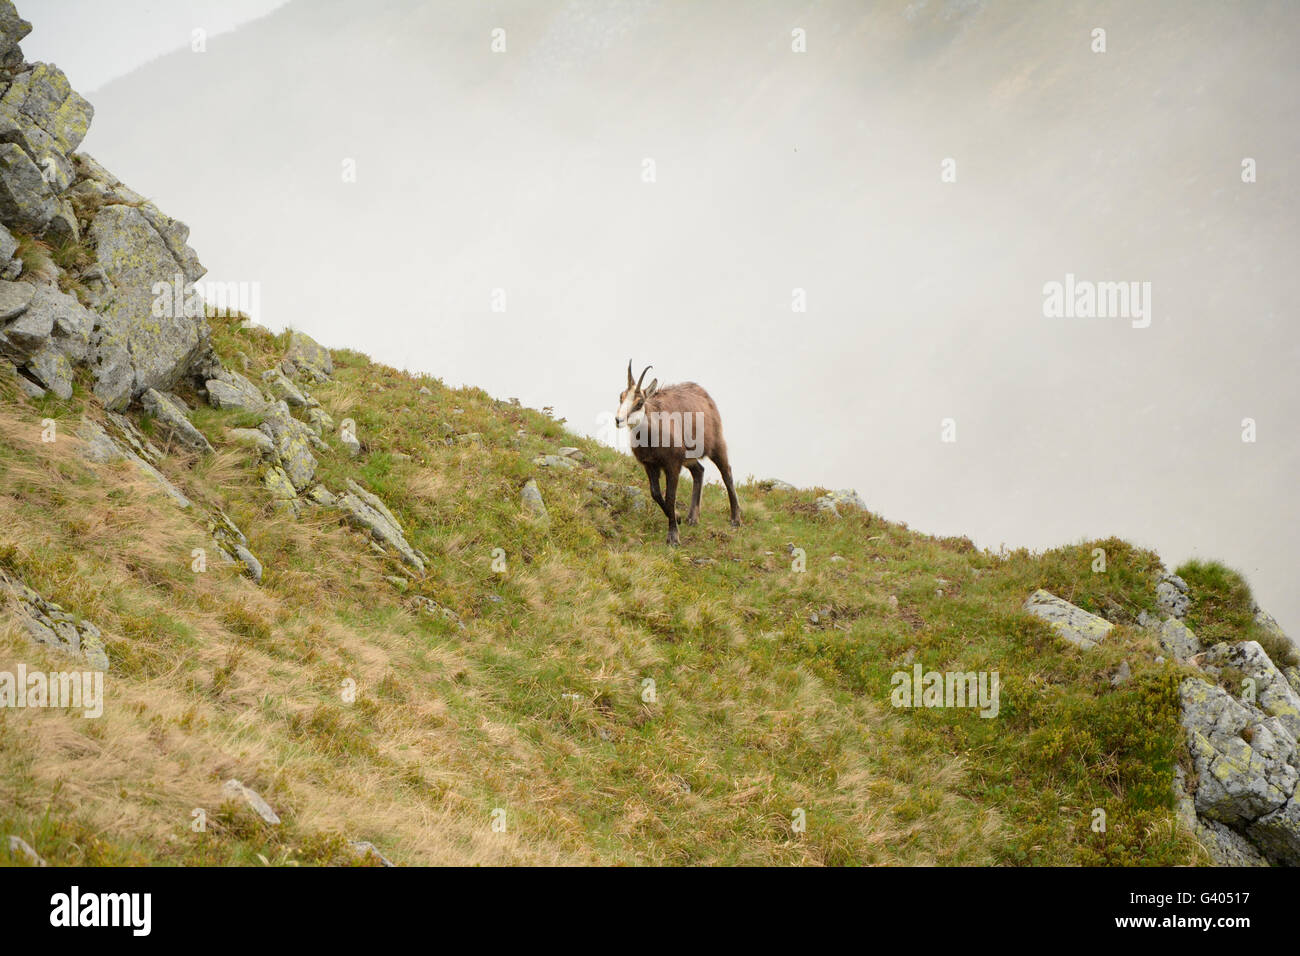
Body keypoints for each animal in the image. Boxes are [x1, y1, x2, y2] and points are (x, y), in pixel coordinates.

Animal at [615, 361, 741, 545]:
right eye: (621, 396)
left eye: (639, 402)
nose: (618, 420)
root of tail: (704, 395)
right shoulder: (650, 465)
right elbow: (655, 494)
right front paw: (678, 517)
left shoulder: (672, 465)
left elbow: (670, 497)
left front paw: (673, 537)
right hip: (689, 457)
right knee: (699, 471)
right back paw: (692, 518)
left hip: (716, 445)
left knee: (727, 473)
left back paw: (735, 519)